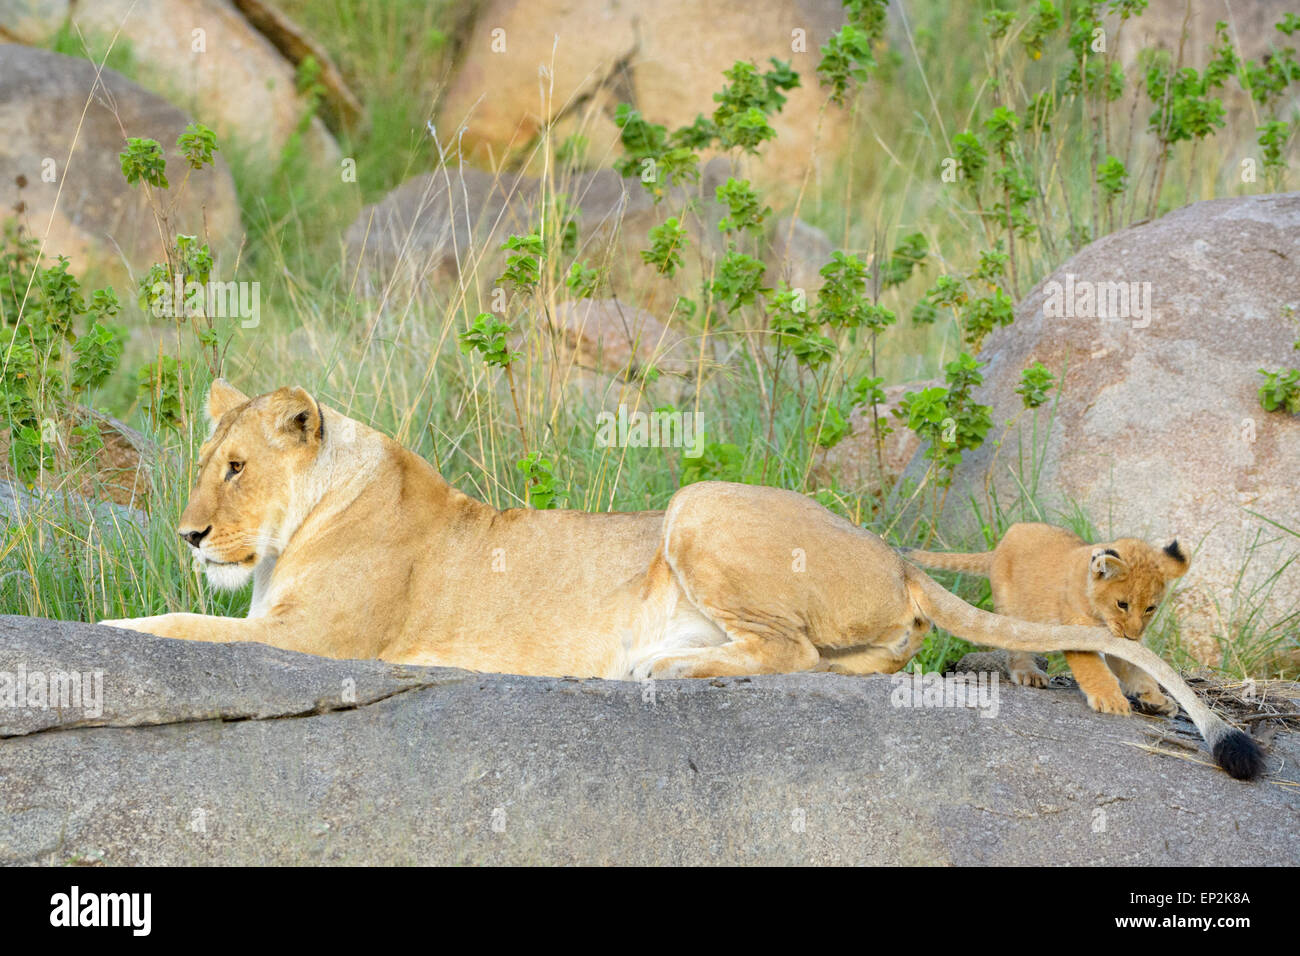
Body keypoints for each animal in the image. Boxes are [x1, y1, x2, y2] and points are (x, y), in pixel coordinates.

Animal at [904, 524, 1190, 718]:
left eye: (1150, 608)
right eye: (1123, 604)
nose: (1133, 636)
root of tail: (998, 548)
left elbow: (1136, 669)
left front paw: (1156, 698)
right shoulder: (1077, 632)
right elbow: (1095, 670)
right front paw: (1112, 700)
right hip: (1012, 610)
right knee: (1015, 648)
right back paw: (1029, 674)